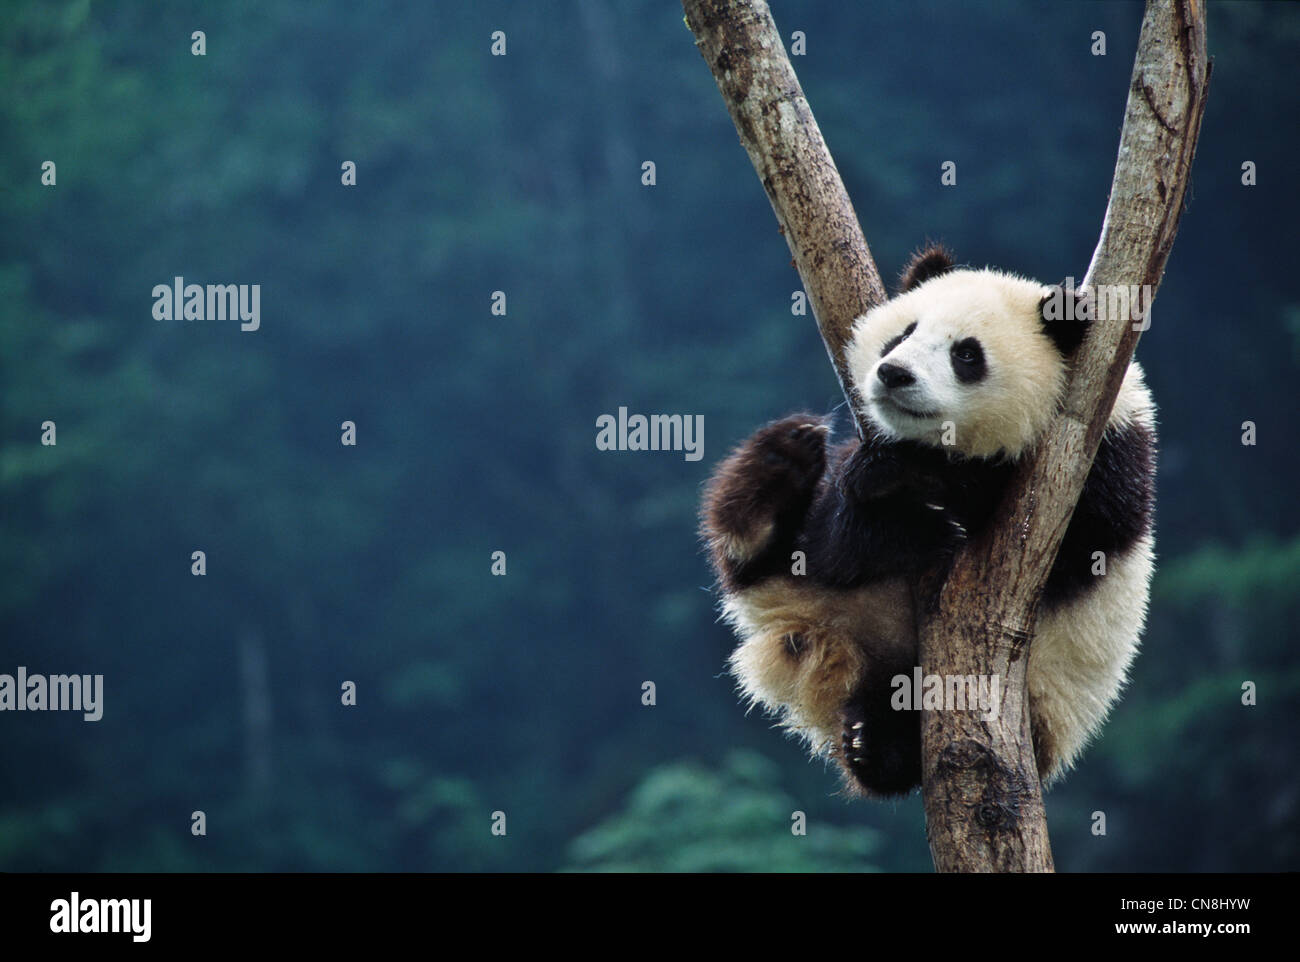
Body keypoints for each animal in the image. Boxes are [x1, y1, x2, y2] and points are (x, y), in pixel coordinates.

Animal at [700, 246, 1156, 797]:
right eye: (904, 333)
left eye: (967, 355)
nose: (894, 373)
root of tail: (818, 632)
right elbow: (836, 533)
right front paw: (892, 497)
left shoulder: (1095, 462)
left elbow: (1060, 534)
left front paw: (916, 486)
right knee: (780, 553)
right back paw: (771, 479)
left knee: (896, 750)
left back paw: (872, 743)